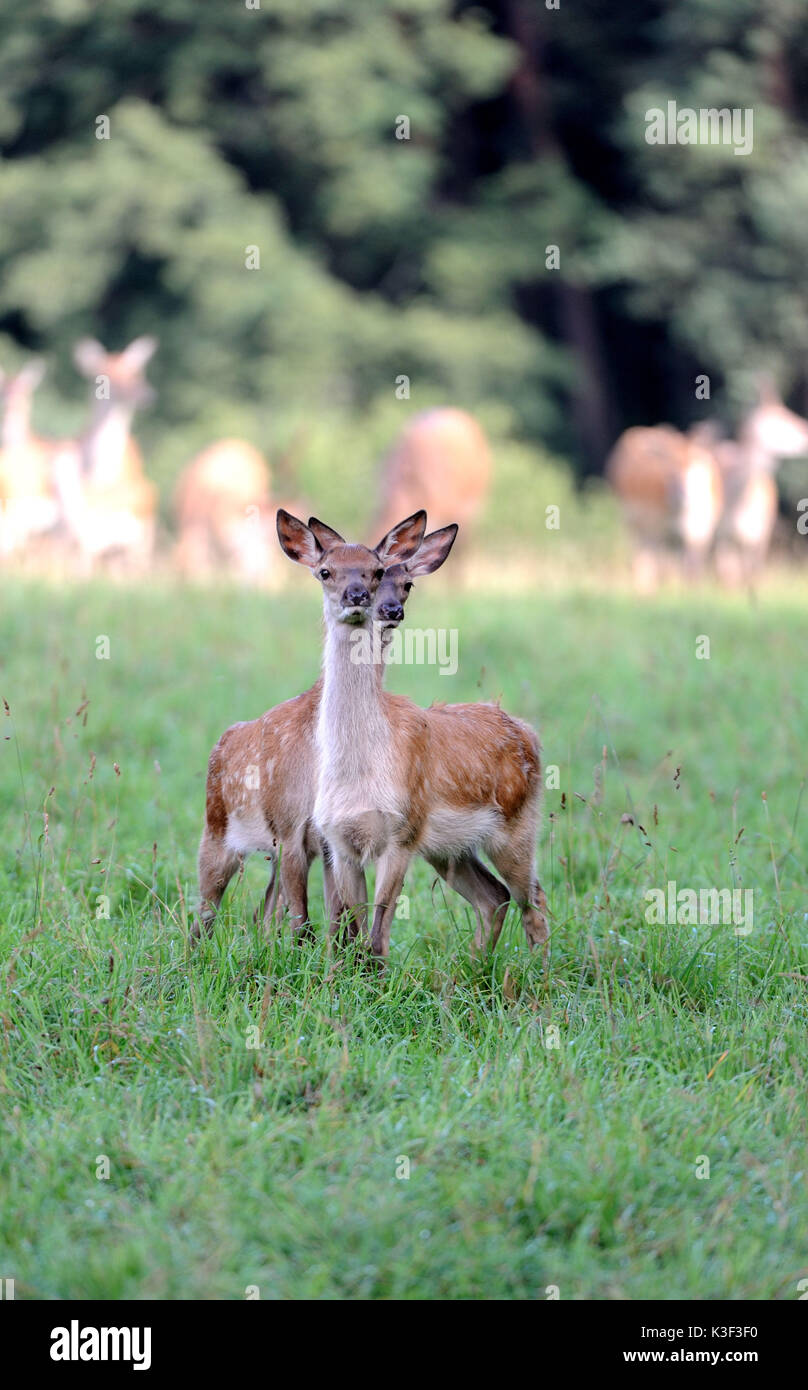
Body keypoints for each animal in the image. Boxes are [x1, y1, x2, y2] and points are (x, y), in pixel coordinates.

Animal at [195, 519, 464, 939]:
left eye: (404, 582)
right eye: (325, 572)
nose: (383, 607)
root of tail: (222, 741)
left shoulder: (328, 841)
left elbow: (337, 923)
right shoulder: (290, 824)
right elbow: (304, 922)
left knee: (262, 911)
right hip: (217, 828)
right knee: (204, 911)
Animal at [276, 510, 547, 960]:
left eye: (379, 571)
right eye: (325, 571)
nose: (360, 597)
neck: (360, 772)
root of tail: (528, 731)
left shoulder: (402, 831)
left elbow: (378, 935)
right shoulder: (339, 840)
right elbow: (353, 931)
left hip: (517, 826)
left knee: (534, 901)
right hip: (448, 848)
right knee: (494, 896)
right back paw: (472, 968)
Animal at [605, 423, 724, 589]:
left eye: (693, 462)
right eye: (670, 468)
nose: (682, 491)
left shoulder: (702, 530)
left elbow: (693, 565)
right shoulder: (660, 528)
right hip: (632, 522)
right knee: (642, 555)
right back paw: (644, 585)